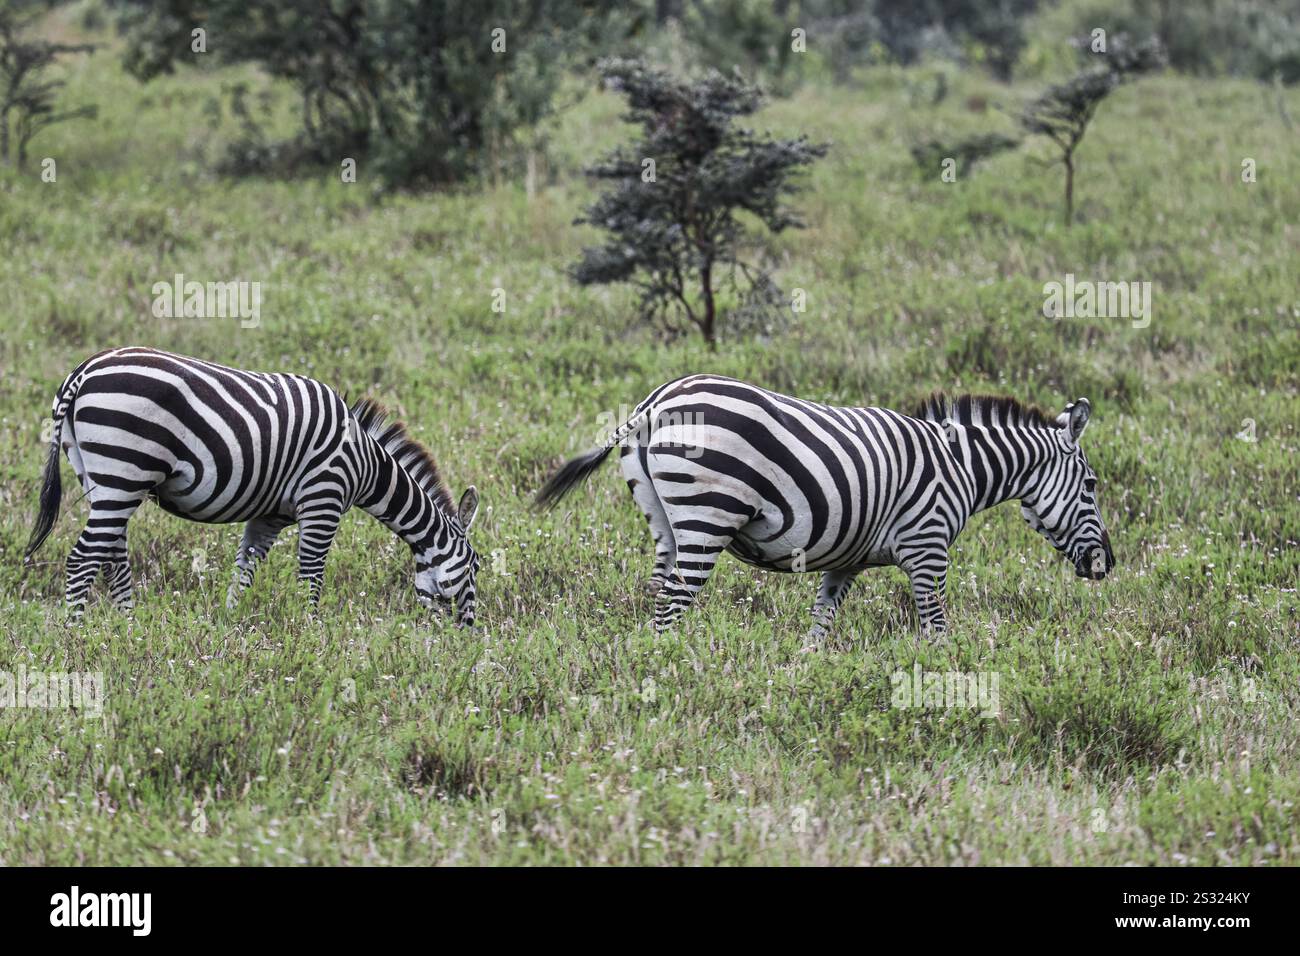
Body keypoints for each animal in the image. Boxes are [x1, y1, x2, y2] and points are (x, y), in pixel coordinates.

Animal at [24, 347, 481, 623]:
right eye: (475, 567)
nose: (469, 634)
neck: (364, 463)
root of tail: (82, 371)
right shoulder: (324, 499)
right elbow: (311, 576)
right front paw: (313, 634)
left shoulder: (270, 516)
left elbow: (243, 571)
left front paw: (229, 626)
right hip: (125, 471)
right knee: (83, 559)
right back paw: (79, 634)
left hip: (104, 479)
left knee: (112, 556)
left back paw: (128, 628)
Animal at [536, 374, 1113, 637]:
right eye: (1091, 485)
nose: (1106, 564)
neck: (961, 467)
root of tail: (656, 402)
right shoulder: (928, 552)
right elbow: (937, 631)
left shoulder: (845, 562)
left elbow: (820, 627)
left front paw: (807, 682)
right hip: (706, 515)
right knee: (671, 605)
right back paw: (667, 675)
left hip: (664, 520)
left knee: (657, 591)